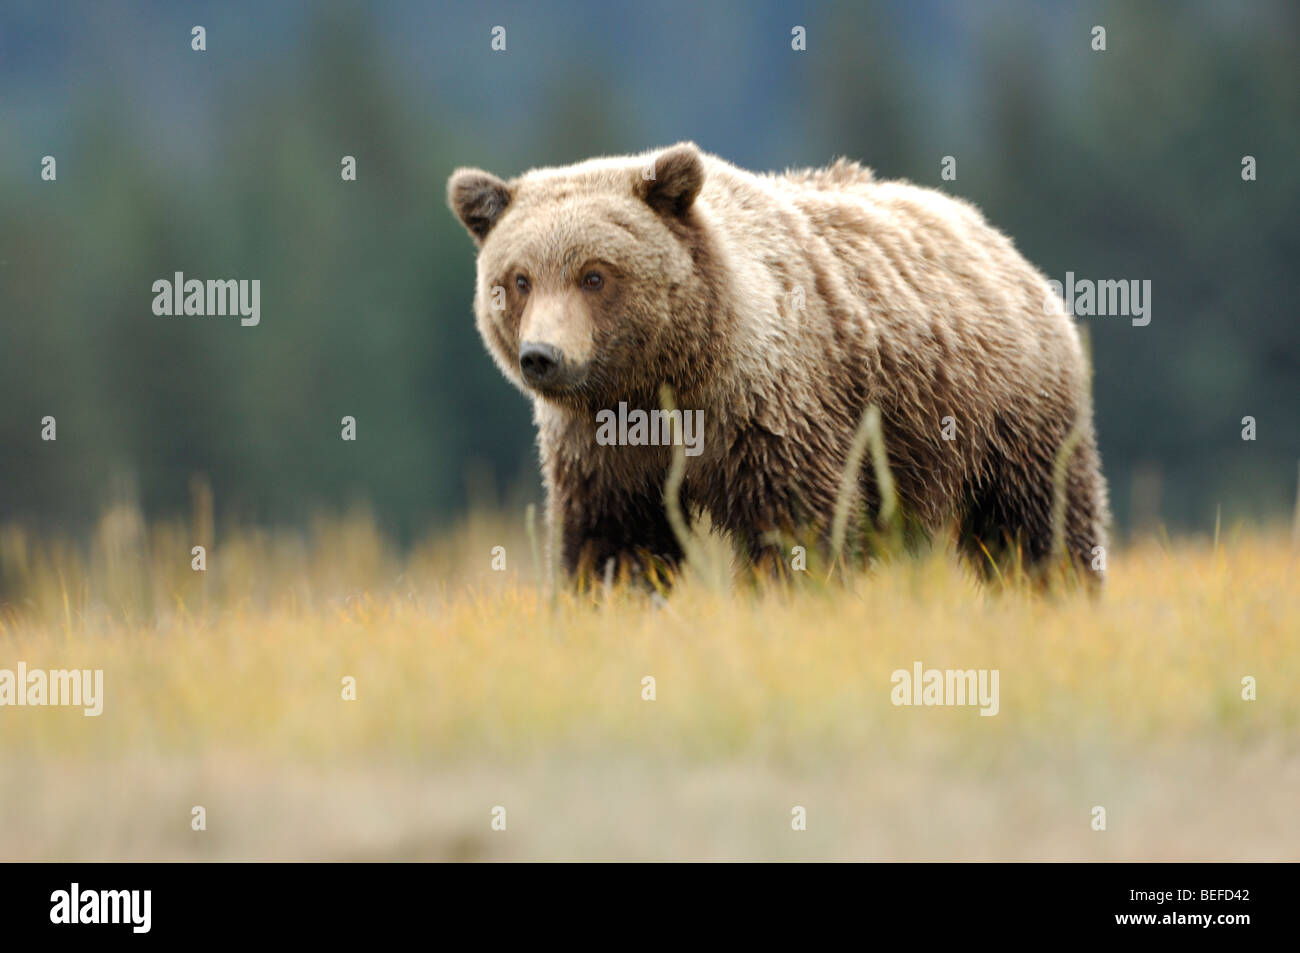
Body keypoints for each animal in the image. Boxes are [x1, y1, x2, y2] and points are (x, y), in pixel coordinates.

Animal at [447, 142, 1109, 582]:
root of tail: (995, 236)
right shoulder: (602, 449)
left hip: (1005, 410)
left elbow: (795, 526)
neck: (660, 385)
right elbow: (613, 540)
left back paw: (1054, 588)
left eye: (594, 275)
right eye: (519, 279)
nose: (543, 357)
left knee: (1035, 520)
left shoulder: (770, 412)